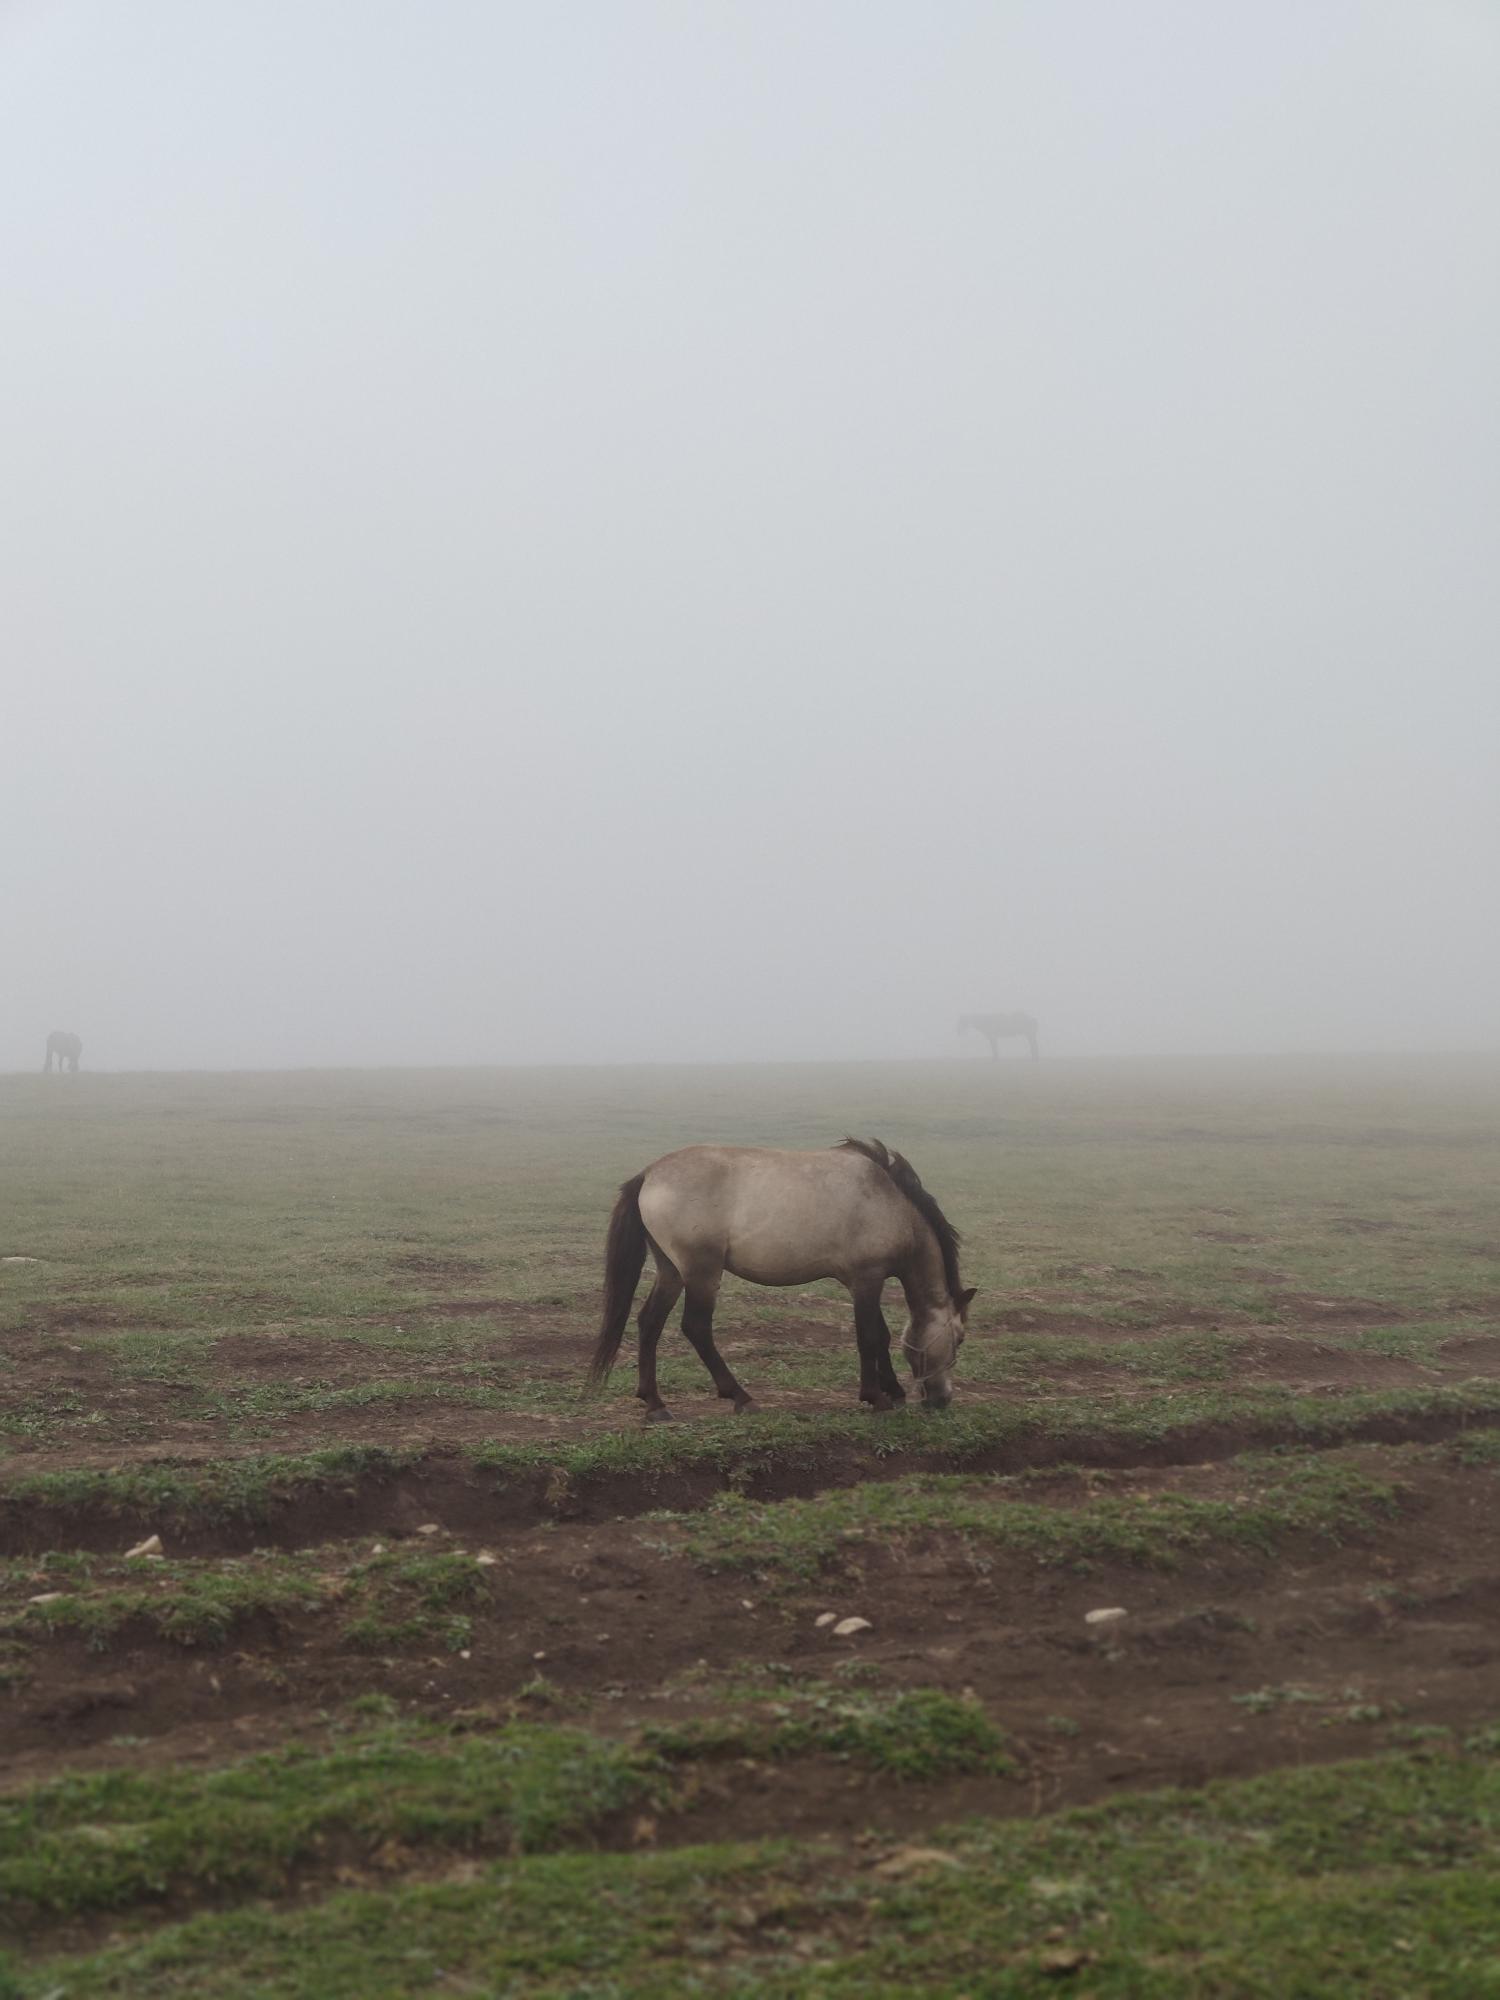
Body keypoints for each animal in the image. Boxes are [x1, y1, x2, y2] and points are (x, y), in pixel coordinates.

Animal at [588, 1144, 976, 1424]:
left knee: (649, 1323)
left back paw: (655, 1404)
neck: (890, 1203)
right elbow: (869, 1336)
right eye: (959, 1338)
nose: (942, 1399)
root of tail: (649, 1174)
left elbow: (881, 1336)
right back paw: (741, 1397)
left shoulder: (862, 1282)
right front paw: (876, 1396)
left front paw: (893, 1391)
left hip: (671, 1272)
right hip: (701, 1272)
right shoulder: (868, 1279)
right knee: (696, 1327)